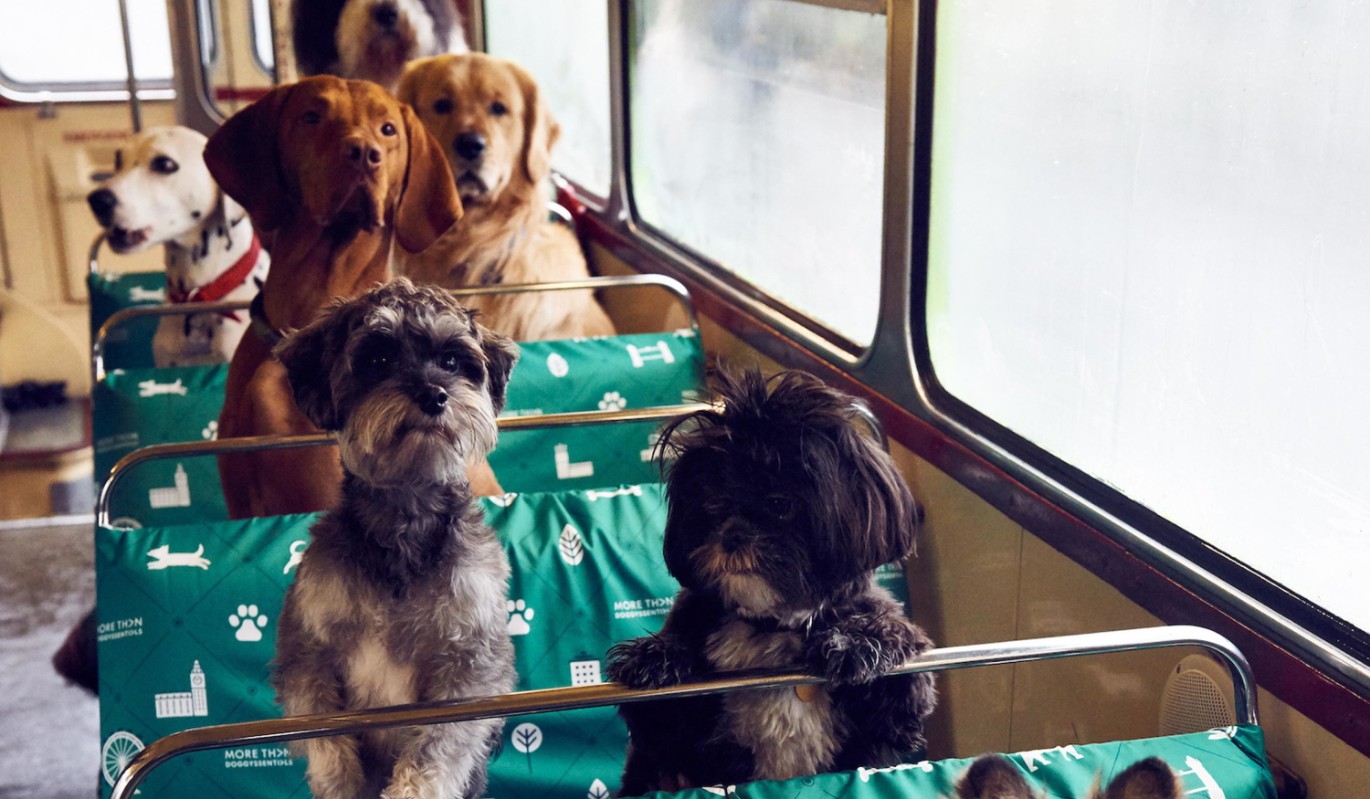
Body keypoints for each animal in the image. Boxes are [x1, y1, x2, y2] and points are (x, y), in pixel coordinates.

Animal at [272, 279, 517, 799]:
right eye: (379, 358)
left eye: (452, 361)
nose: (434, 394)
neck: (405, 520)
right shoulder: (308, 653)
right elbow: (328, 741)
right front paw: (339, 783)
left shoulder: (469, 666)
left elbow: (436, 752)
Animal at [611, 370, 942, 794]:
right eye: (713, 501)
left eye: (780, 503)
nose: (732, 535)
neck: (772, 625)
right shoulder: (664, 738)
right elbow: (657, 722)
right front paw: (656, 656)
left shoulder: (894, 723)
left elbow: (904, 664)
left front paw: (856, 642)